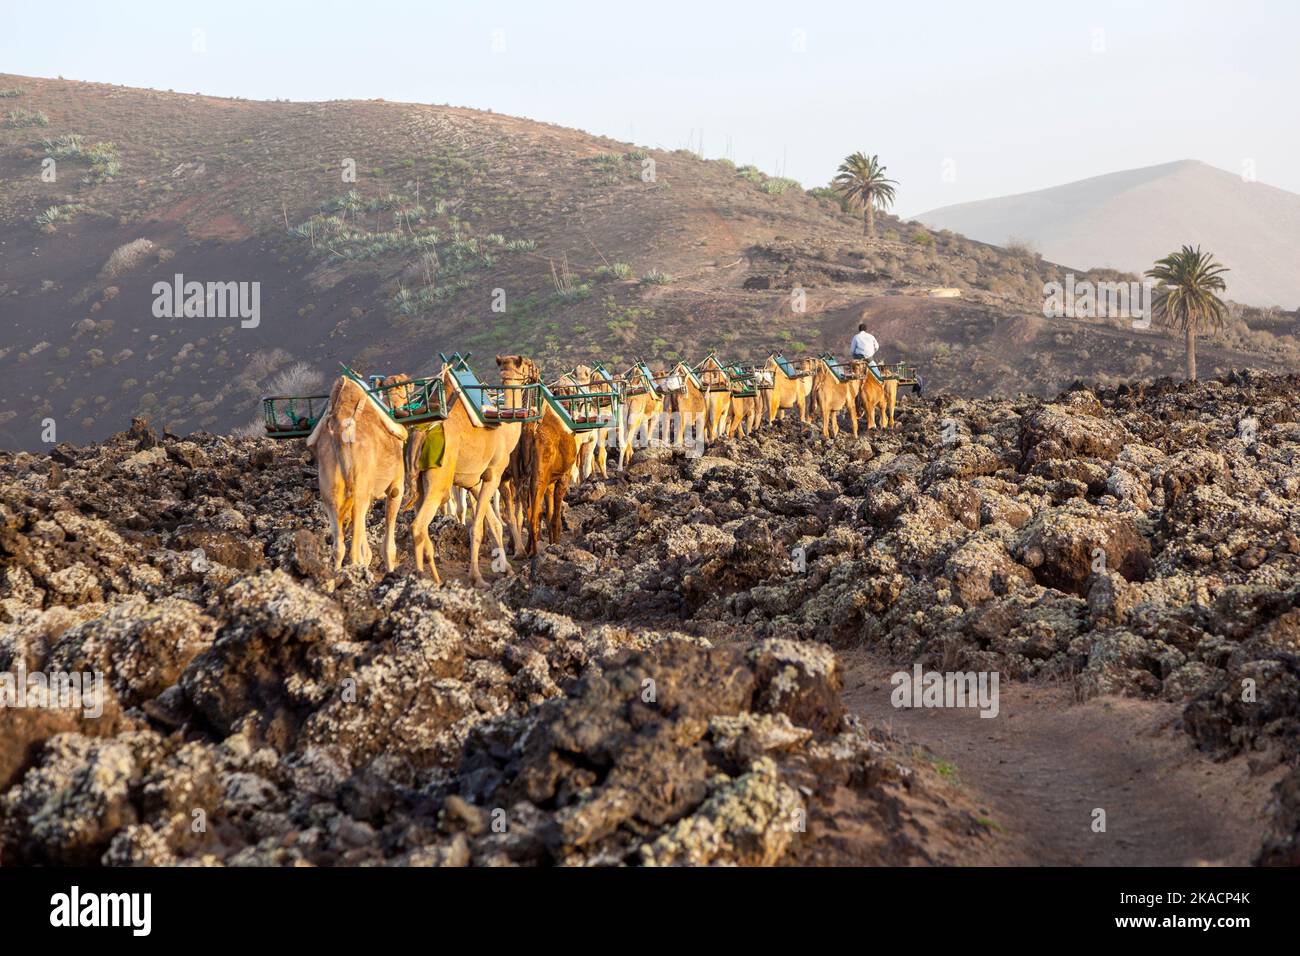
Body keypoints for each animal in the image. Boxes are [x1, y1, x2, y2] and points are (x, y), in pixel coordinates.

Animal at [307, 371, 408, 571]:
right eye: (400, 385)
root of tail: (340, 433)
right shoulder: (396, 486)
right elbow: (388, 546)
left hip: (330, 489)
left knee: (339, 545)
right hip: (359, 488)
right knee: (354, 550)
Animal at [408, 355, 533, 587]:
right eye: (527, 364)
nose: (536, 371)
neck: (505, 430)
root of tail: (420, 433)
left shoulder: (473, 481)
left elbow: (494, 524)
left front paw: (507, 569)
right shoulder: (493, 474)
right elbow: (477, 526)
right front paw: (477, 577)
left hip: (417, 482)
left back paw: (435, 578)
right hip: (438, 481)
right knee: (418, 526)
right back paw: (422, 579)